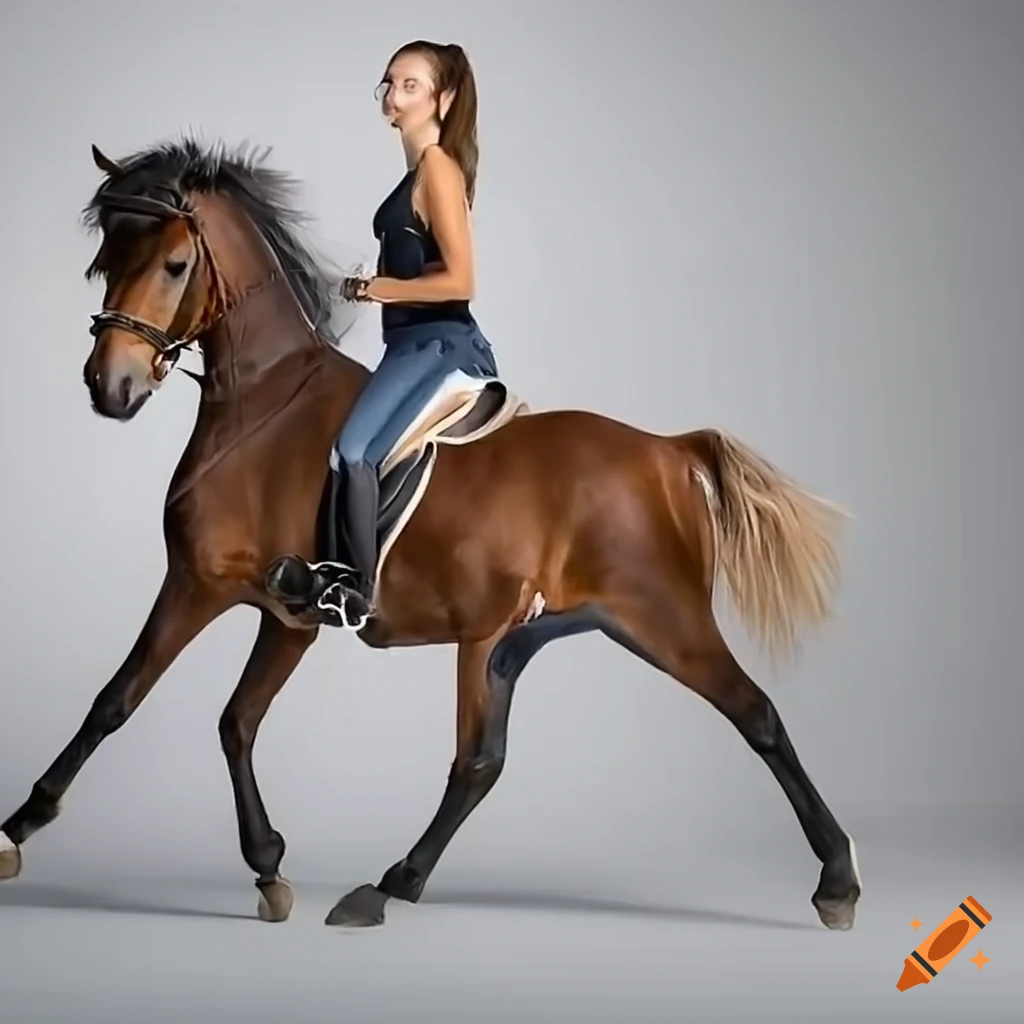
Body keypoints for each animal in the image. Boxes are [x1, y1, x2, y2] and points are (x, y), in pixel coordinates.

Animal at [0, 137, 862, 931]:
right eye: (105, 260)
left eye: (176, 264)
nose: (109, 385)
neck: (263, 402)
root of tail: (668, 449)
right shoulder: (286, 618)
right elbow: (235, 722)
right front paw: (268, 866)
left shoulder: (199, 583)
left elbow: (115, 701)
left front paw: (17, 829)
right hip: (514, 639)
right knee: (483, 762)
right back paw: (393, 884)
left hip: (659, 617)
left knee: (753, 715)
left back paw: (838, 881)